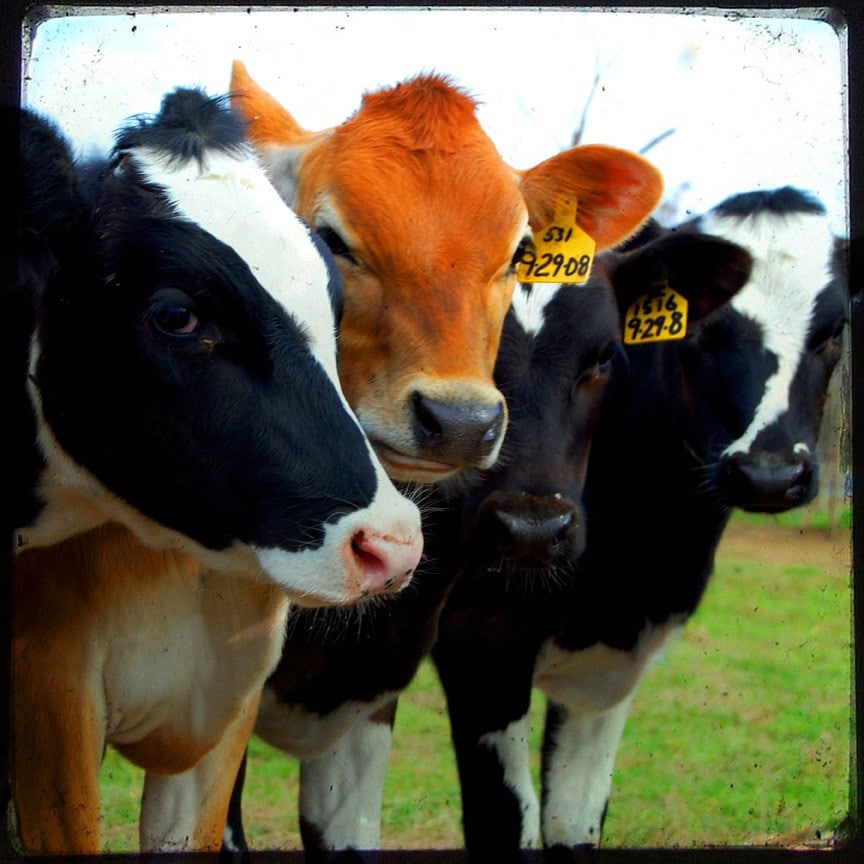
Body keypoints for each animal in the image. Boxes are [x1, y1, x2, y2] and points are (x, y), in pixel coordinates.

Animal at [430, 186, 849, 861]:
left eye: (835, 329)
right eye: (697, 334)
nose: (768, 475)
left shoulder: (612, 664)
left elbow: (575, 822)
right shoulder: (478, 639)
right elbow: (506, 824)